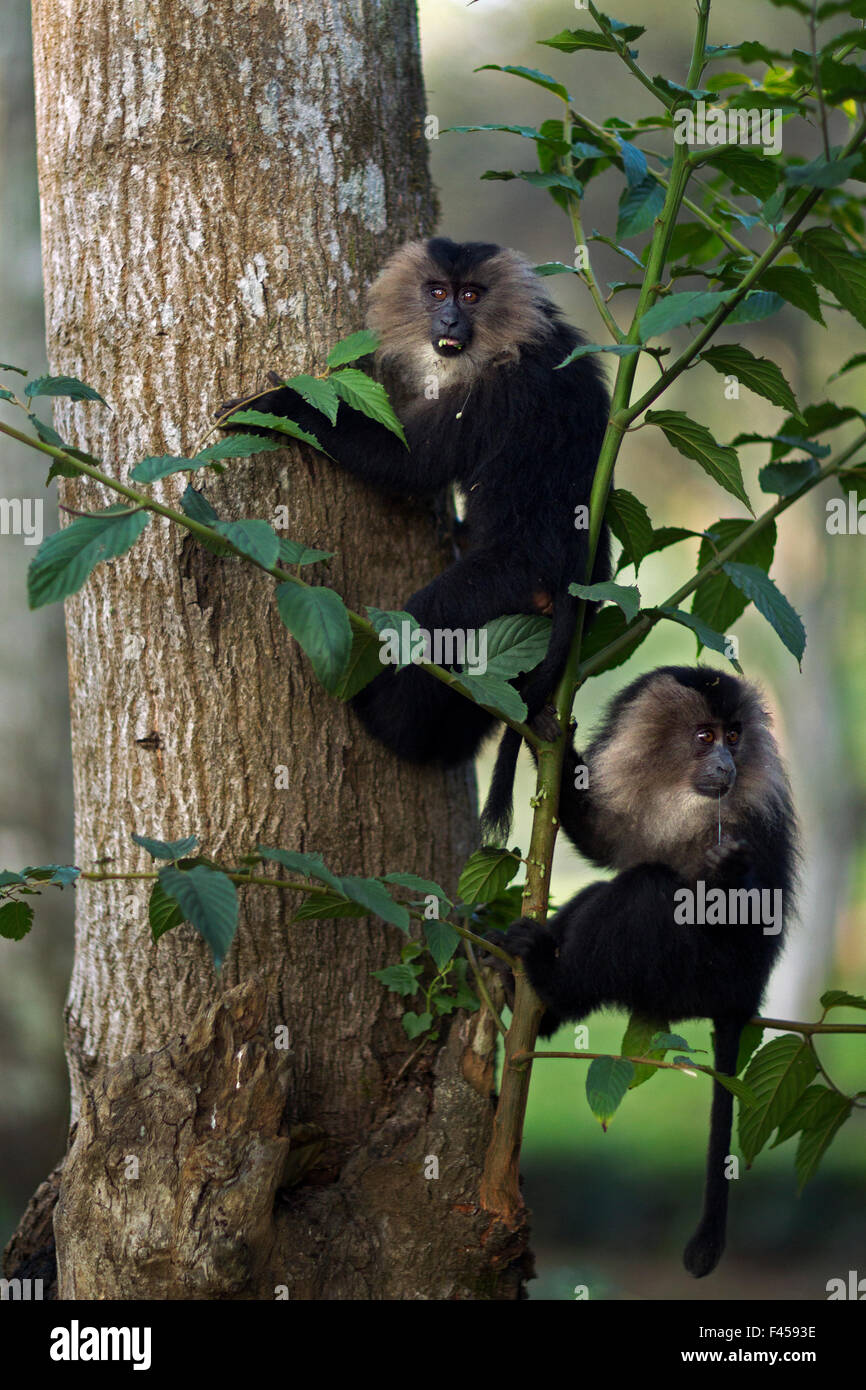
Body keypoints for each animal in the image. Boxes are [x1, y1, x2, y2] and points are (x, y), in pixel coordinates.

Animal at [220, 238, 610, 837]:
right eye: (436, 292)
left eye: (469, 296)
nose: (447, 320)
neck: (518, 339)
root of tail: (571, 575)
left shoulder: (490, 392)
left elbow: (406, 461)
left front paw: (272, 406)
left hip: (501, 582)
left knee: (430, 627)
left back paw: (385, 721)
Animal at [489, 665, 798, 1277]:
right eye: (706, 737)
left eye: (734, 736)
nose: (727, 765)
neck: (687, 800)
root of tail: (744, 998)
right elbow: (603, 841)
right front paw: (549, 732)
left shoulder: (751, 820)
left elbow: (745, 908)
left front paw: (730, 874)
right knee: (607, 891)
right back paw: (529, 994)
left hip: (695, 977)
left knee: (645, 893)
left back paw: (548, 981)